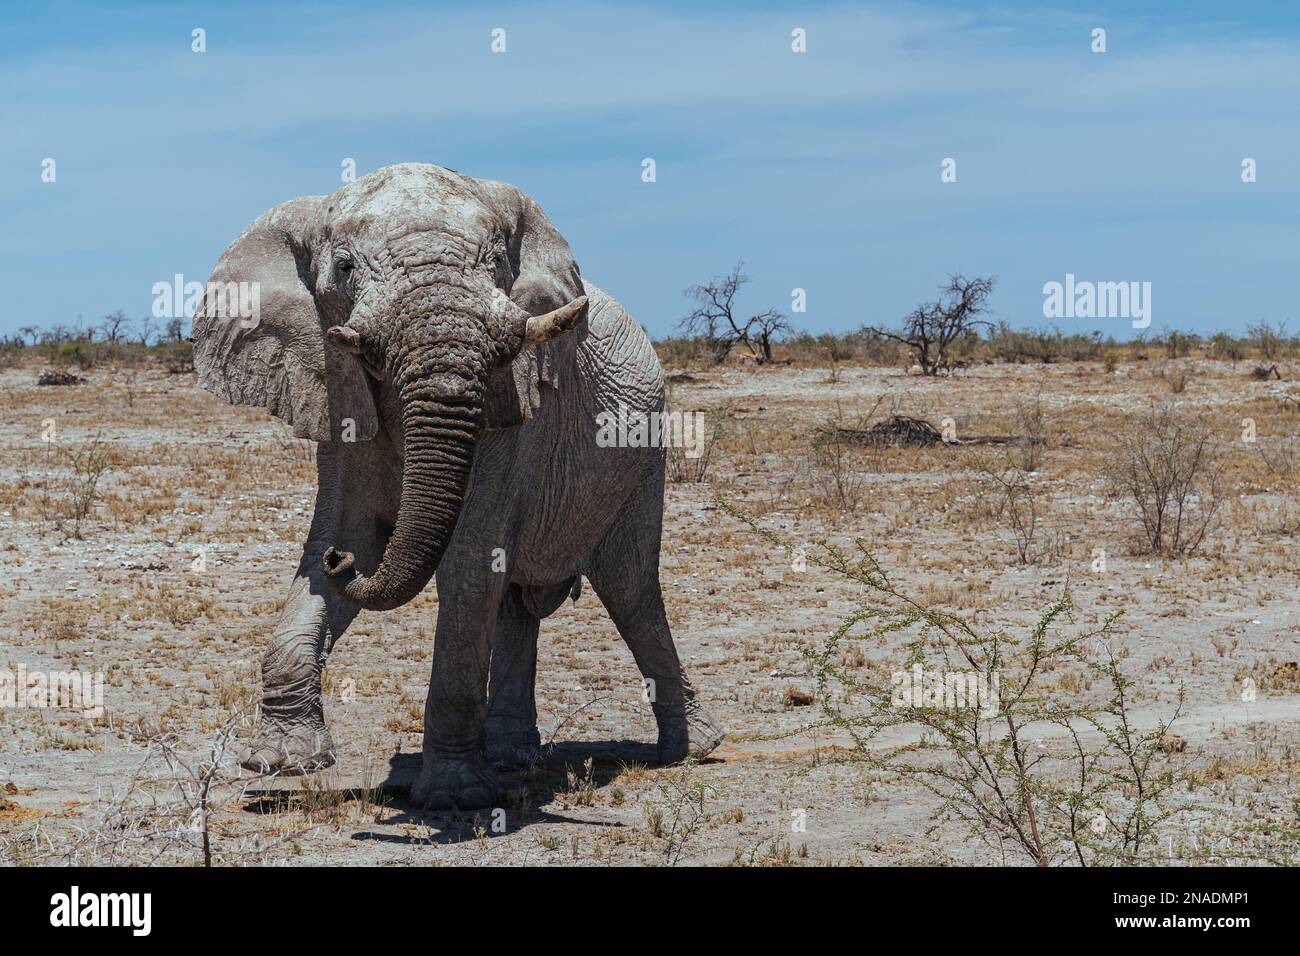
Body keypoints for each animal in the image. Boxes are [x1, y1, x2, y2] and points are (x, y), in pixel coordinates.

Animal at [192, 163, 723, 810]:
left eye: (496, 262)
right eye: (343, 267)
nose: (343, 563)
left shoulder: (514, 401)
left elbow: (467, 565)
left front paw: (454, 797)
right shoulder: (334, 393)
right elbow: (341, 548)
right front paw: (280, 764)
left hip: (643, 456)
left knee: (631, 590)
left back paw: (691, 750)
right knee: (520, 601)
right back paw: (515, 758)